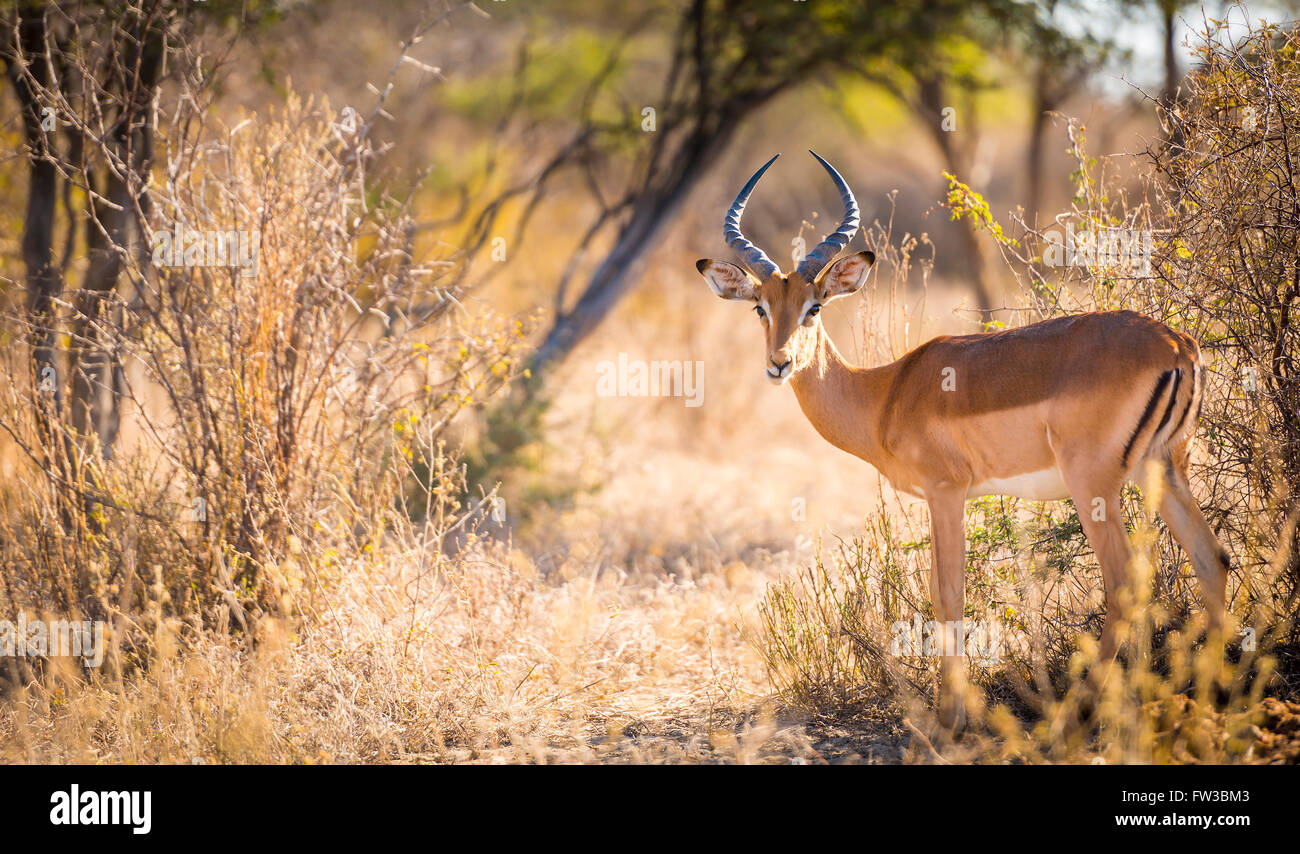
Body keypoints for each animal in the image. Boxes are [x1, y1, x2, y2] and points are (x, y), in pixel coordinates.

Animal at [696, 151, 1230, 727]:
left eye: (814, 306)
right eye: (761, 307)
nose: (780, 363)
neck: (887, 392)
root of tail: (1178, 345)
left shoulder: (946, 492)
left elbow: (949, 593)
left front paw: (950, 718)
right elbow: (942, 592)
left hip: (1095, 484)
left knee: (1126, 581)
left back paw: (1077, 712)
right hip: (1164, 468)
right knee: (1212, 558)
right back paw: (1214, 699)